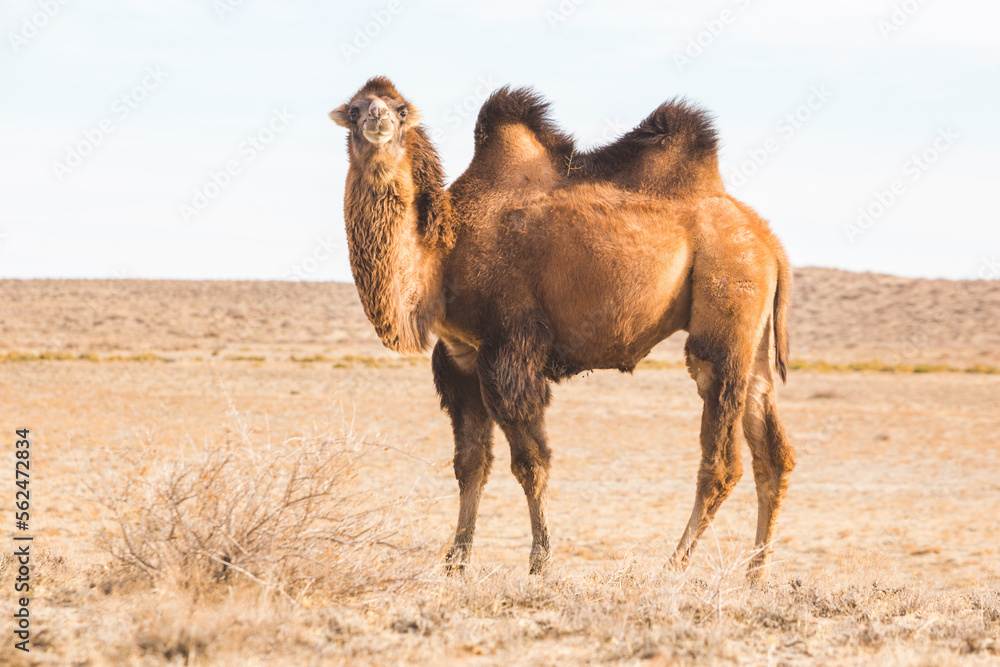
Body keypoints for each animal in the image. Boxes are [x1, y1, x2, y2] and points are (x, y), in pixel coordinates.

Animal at [329, 76, 795, 578]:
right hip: (754, 336)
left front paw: (539, 560)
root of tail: (769, 242)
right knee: (772, 452)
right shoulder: (460, 357)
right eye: (355, 110)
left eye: (399, 109)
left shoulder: (509, 350)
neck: (443, 252)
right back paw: (755, 574)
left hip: (726, 305)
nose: (377, 119)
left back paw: (674, 565)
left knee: (723, 458)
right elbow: (470, 463)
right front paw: (456, 562)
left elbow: (530, 462)